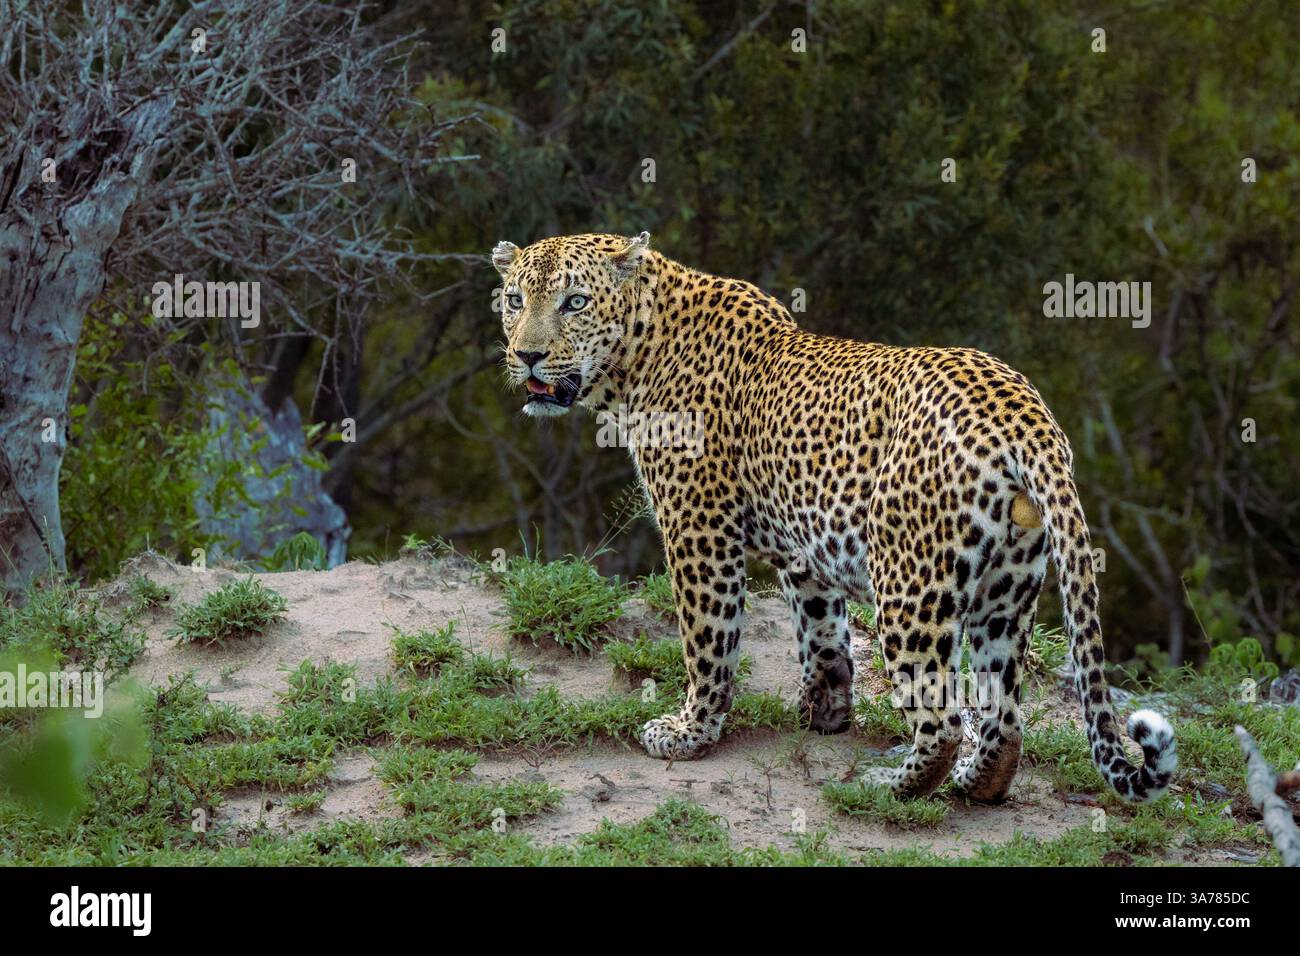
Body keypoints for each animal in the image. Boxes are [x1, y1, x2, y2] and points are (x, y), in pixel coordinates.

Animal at [492, 231, 1176, 803]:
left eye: (575, 302)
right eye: (515, 299)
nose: (526, 355)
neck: (637, 355)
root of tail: (1022, 409)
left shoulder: (698, 527)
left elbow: (708, 639)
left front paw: (691, 732)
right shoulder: (807, 551)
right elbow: (823, 636)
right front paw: (824, 715)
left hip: (910, 582)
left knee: (942, 716)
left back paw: (888, 787)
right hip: (1008, 588)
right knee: (1004, 716)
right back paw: (975, 785)